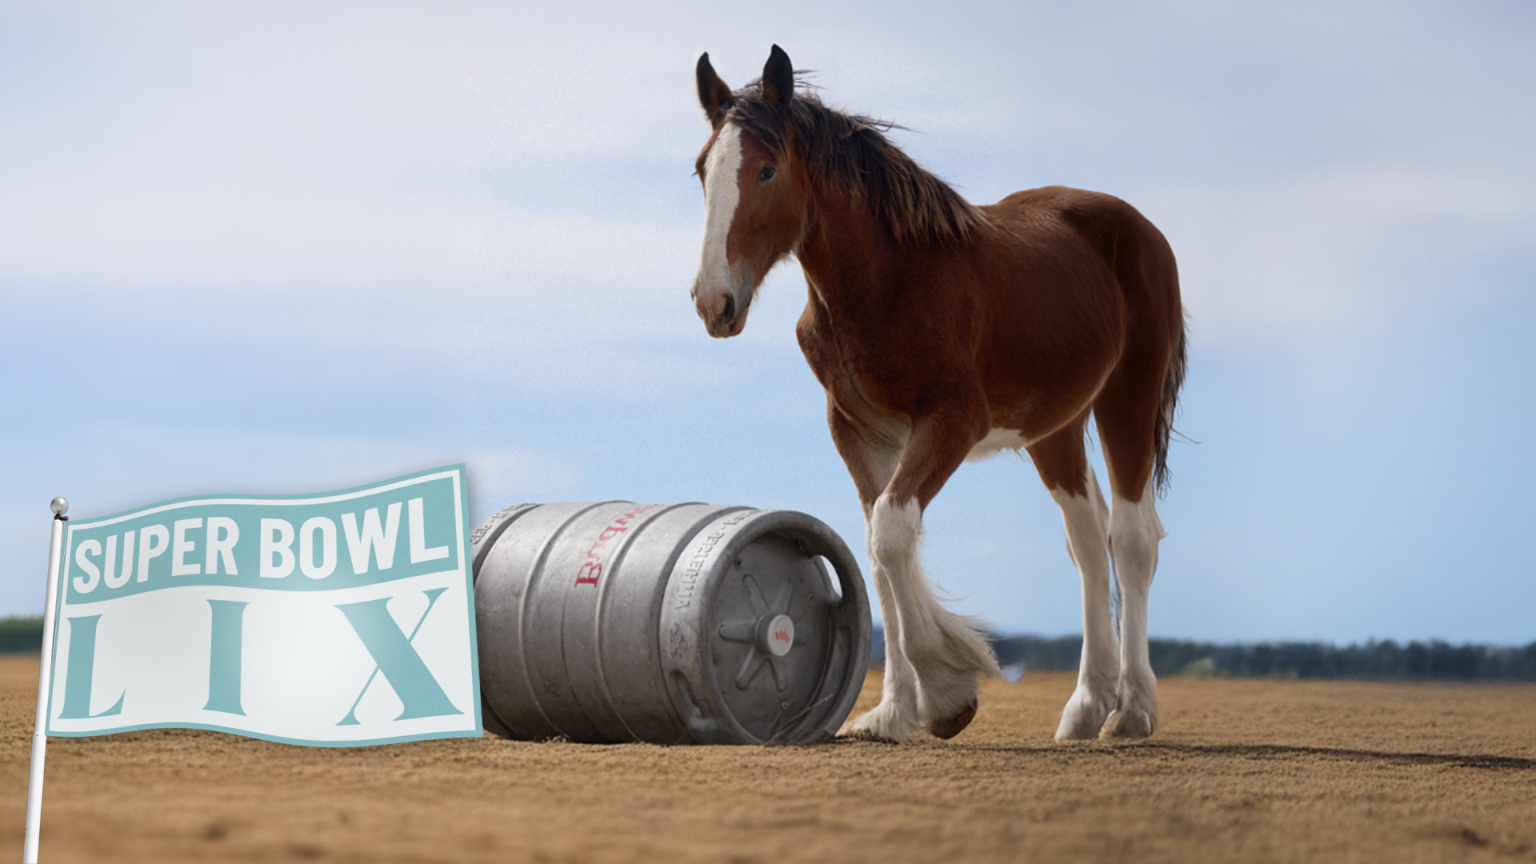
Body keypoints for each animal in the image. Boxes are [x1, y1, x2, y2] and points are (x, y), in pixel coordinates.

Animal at [689, 46, 1186, 742]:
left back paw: (1133, 709)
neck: (889, 280)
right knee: (1088, 542)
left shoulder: (952, 421)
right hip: (1054, 428)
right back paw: (1086, 706)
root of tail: (1141, 229)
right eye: (701, 170)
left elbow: (893, 533)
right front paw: (894, 712)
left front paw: (947, 693)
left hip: (1127, 399)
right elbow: (874, 553)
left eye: (766, 170)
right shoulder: (858, 432)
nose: (714, 301)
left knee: (1132, 539)